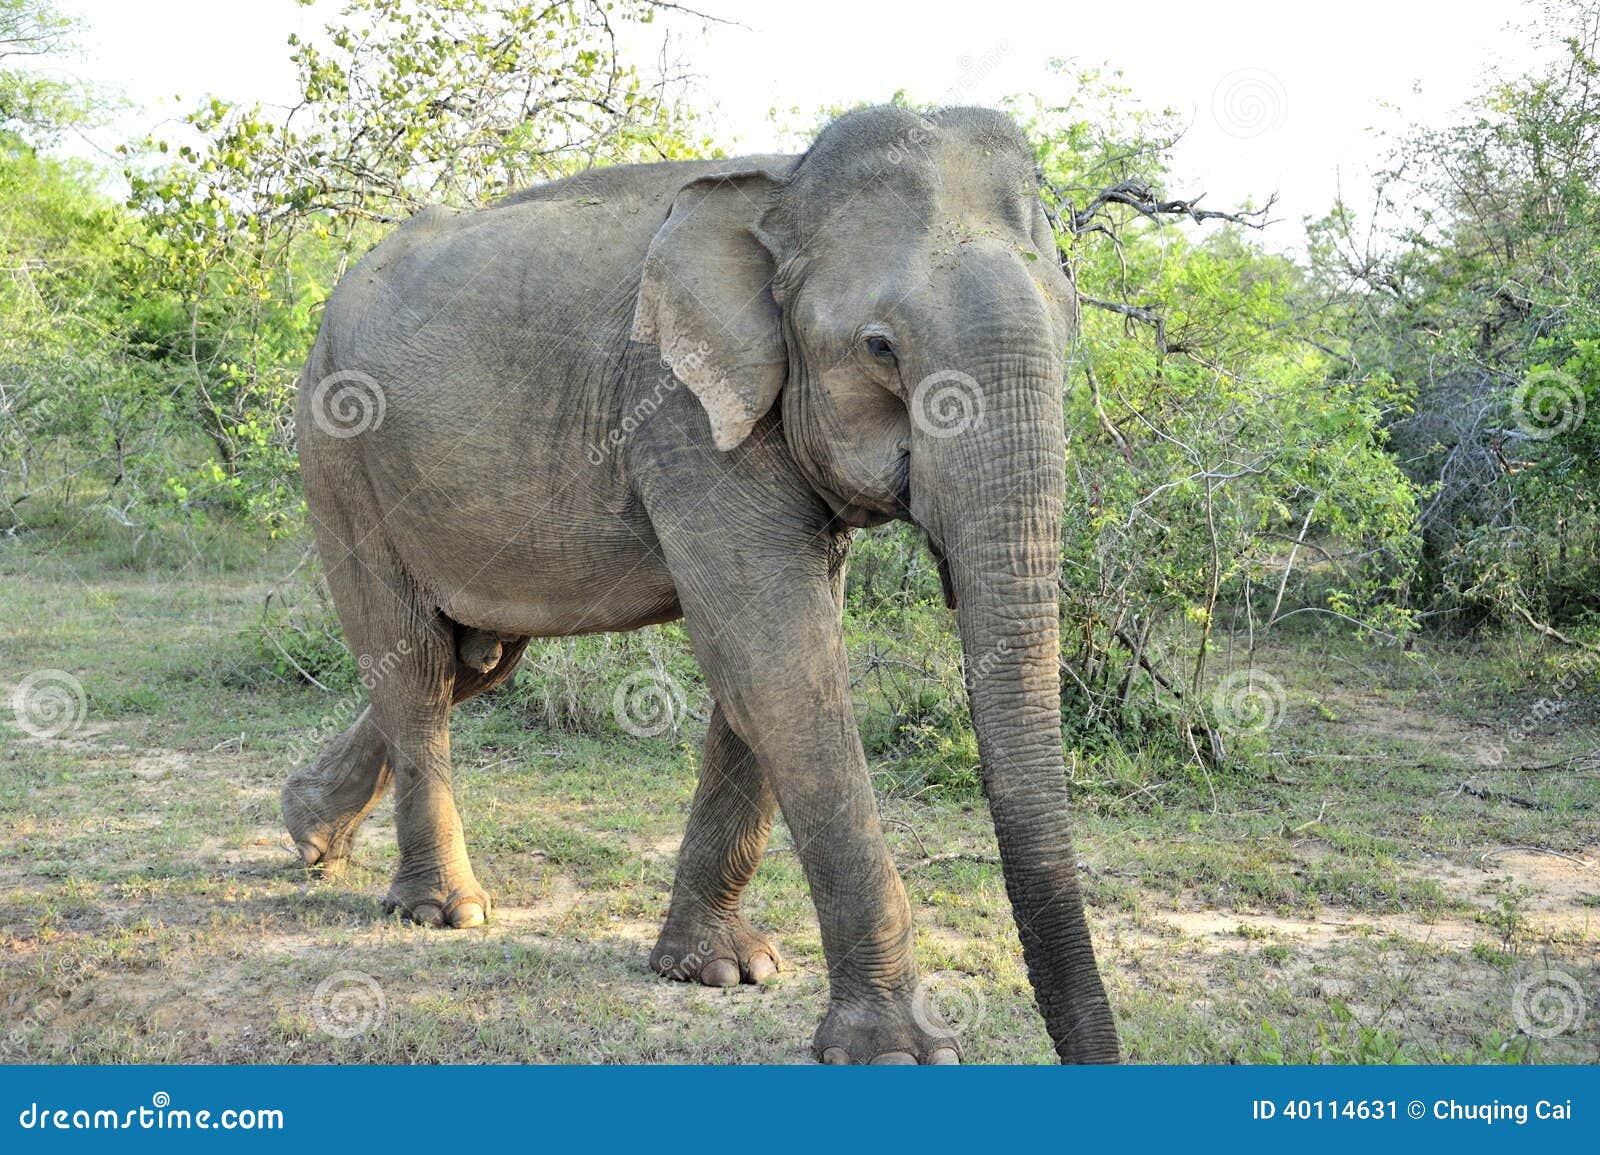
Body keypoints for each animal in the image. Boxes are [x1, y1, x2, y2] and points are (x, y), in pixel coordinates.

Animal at [281, 103, 1119, 1064]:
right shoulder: (678, 404)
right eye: (880, 349)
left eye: (1068, 328)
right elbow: (777, 659)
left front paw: (722, 970)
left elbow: (768, 665)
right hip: (337, 447)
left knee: (471, 656)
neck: (786, 187)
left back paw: (311, 834)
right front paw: (898, 1050)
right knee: (414, 660)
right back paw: (443, 910)